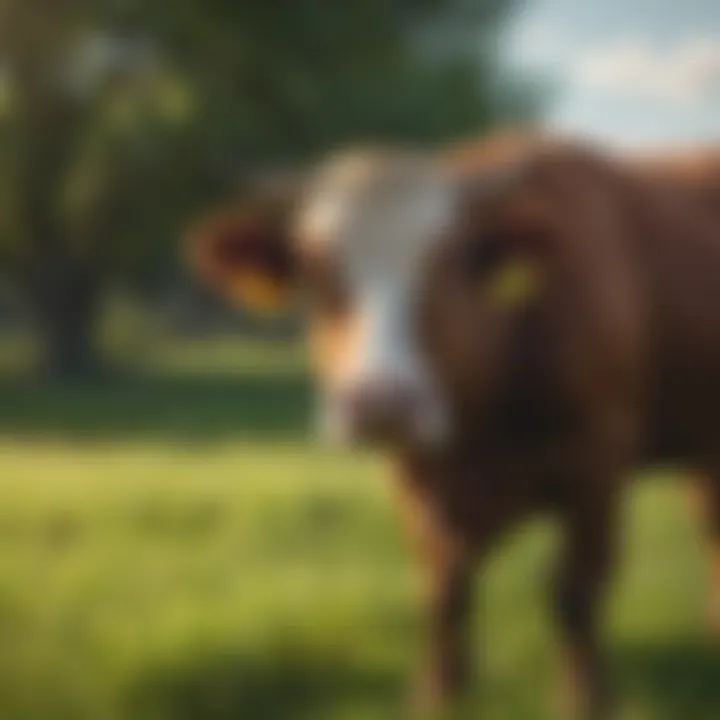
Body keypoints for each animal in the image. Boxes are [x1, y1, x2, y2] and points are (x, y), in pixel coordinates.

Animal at [184, 136, 720, 720]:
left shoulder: (596, 458)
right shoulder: (417, 473)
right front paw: (439, 693)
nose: (382, 402)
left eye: (447, 260)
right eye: (313, 266)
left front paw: (587, 699)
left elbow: (574, 593)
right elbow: (443, 587)